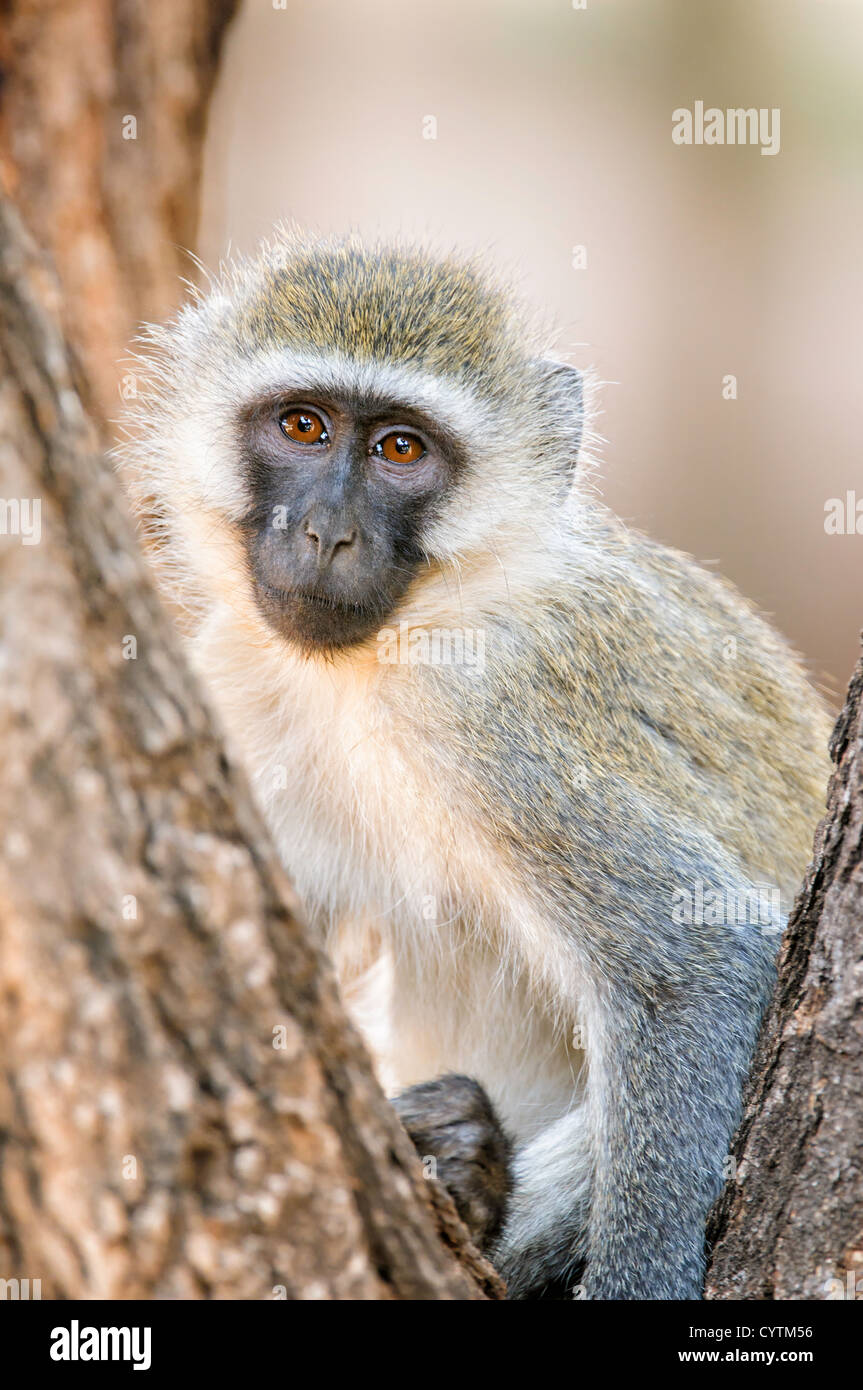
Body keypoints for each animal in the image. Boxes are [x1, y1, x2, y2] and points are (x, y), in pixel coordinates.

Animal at [118, 230, 832, 1299]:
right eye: (302, 426)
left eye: (401, 450)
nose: (326, 534)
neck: (382, 654)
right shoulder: (234, 690)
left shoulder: (486, 715)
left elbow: (699, 959)